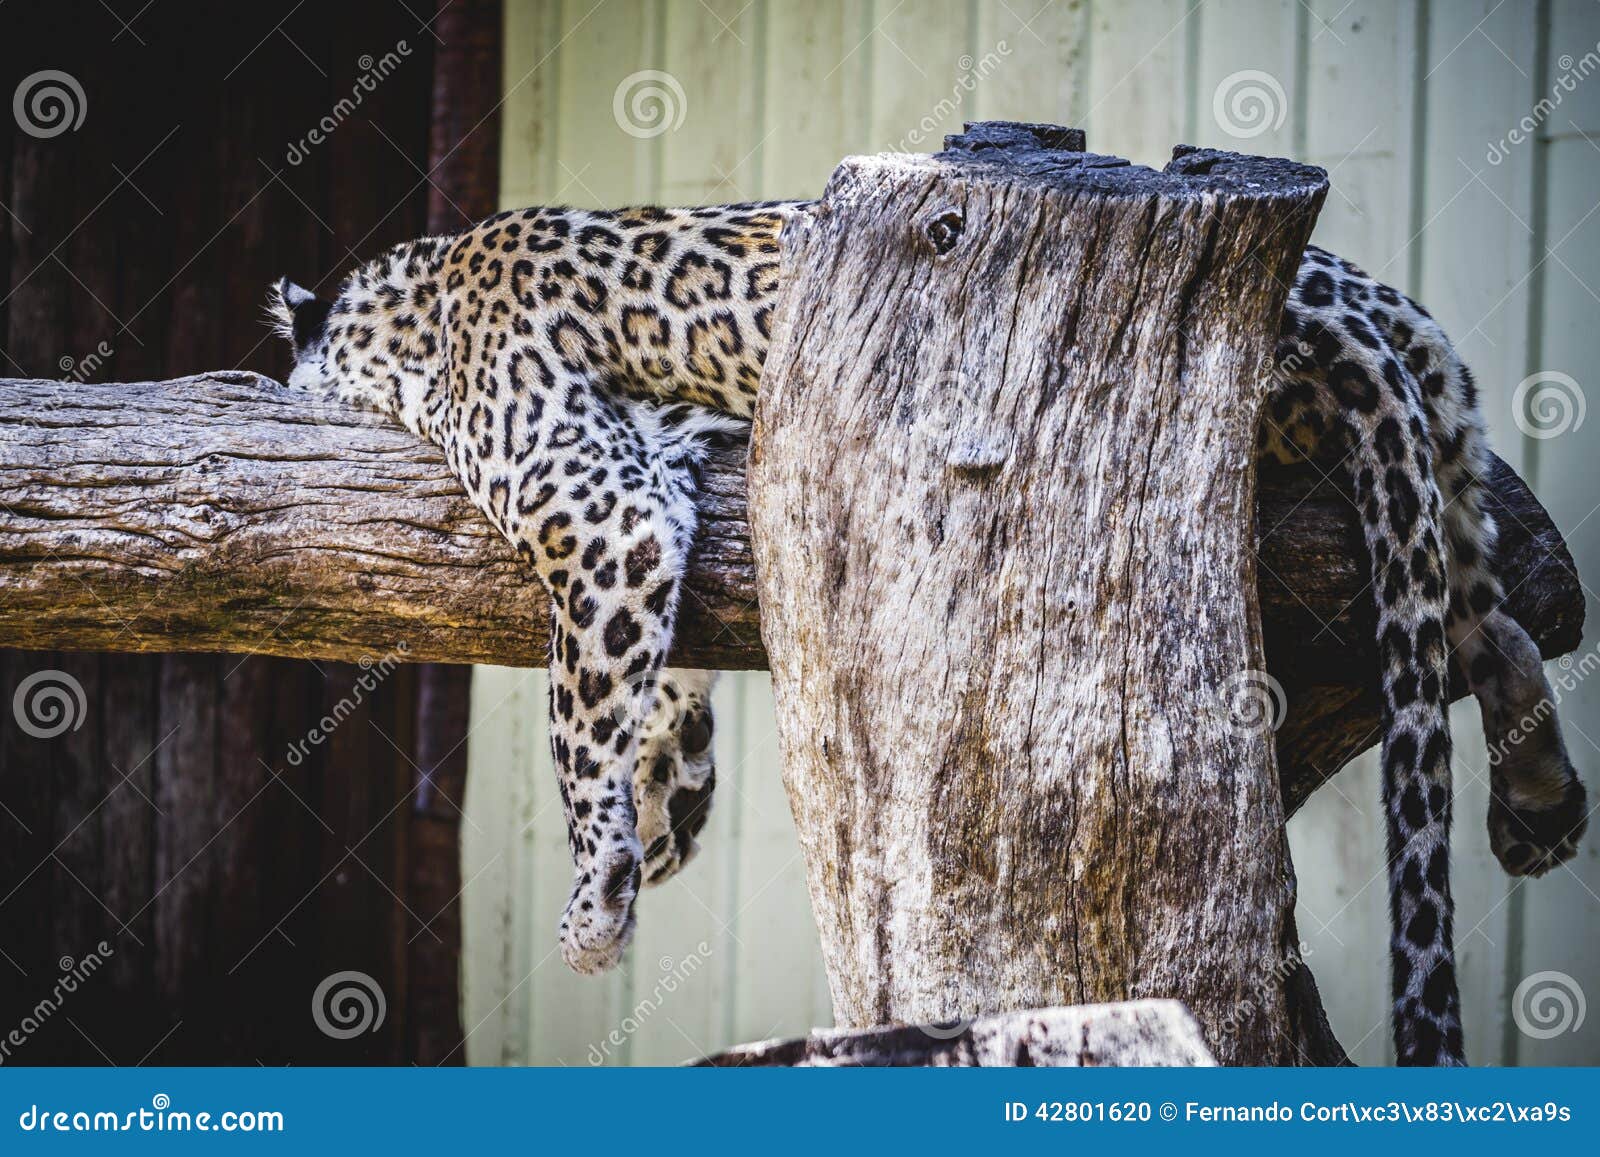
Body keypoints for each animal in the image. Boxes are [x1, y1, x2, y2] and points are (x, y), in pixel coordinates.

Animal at [269, 195, 1587, 1067]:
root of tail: (1337, 311)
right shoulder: (659, 470)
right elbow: (656, 669)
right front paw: (675, 794)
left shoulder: (597, 505)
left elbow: (578, 714)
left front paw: (597, 900)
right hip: (1444, 413)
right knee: (1484, 586)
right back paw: (1540, 794)